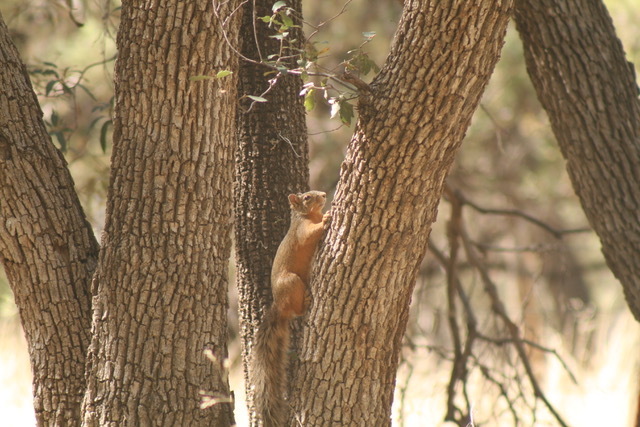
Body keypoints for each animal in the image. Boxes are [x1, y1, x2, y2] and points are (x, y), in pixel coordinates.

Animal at [252, 190, 330, 427]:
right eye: (307, 198)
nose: (325, 194)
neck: (308, 215)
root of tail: (279, 306)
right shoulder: (301, 232)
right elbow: (310, 234)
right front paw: (327, 218)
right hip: (292, 282)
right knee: (298, 311)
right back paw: (306, 301)